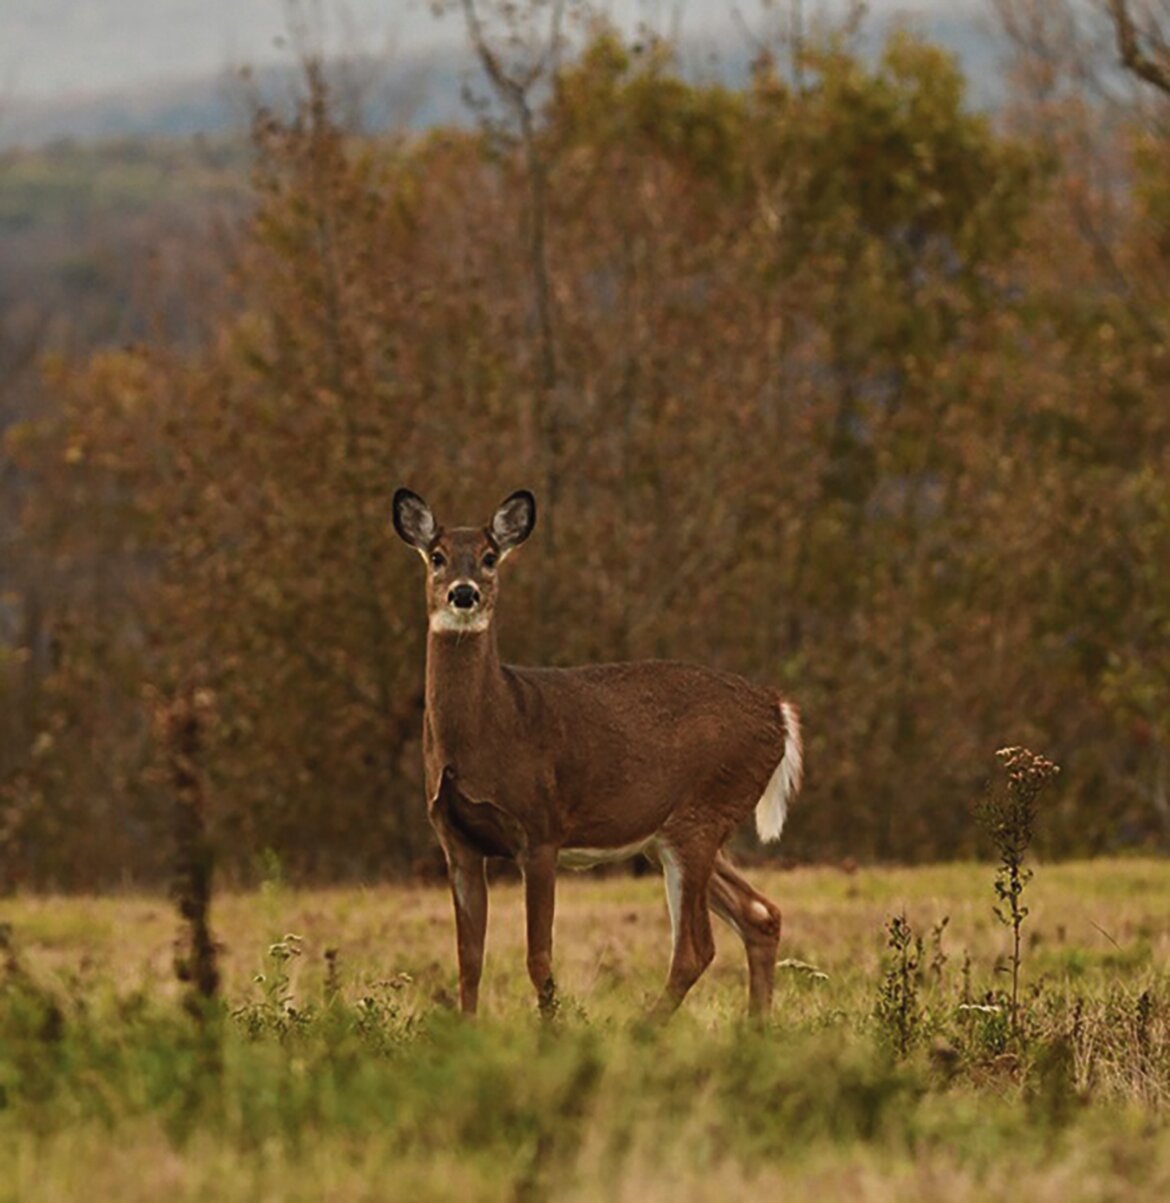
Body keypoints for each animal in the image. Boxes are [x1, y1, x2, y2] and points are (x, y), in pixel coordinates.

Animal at [392, 487, 803, 1021]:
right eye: (437, 556)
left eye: (489, 557)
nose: (464, 593)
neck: (490, 729)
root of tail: (778, 712)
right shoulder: (455, 841)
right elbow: (469, 959)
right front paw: (465, 1031)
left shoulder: (540, 829)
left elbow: (538, 956)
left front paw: (552, 1030)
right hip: (667, 835)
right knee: (760, 914)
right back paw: (754, 1028)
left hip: (702, 813)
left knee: (697, 947)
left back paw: (643, 1028)